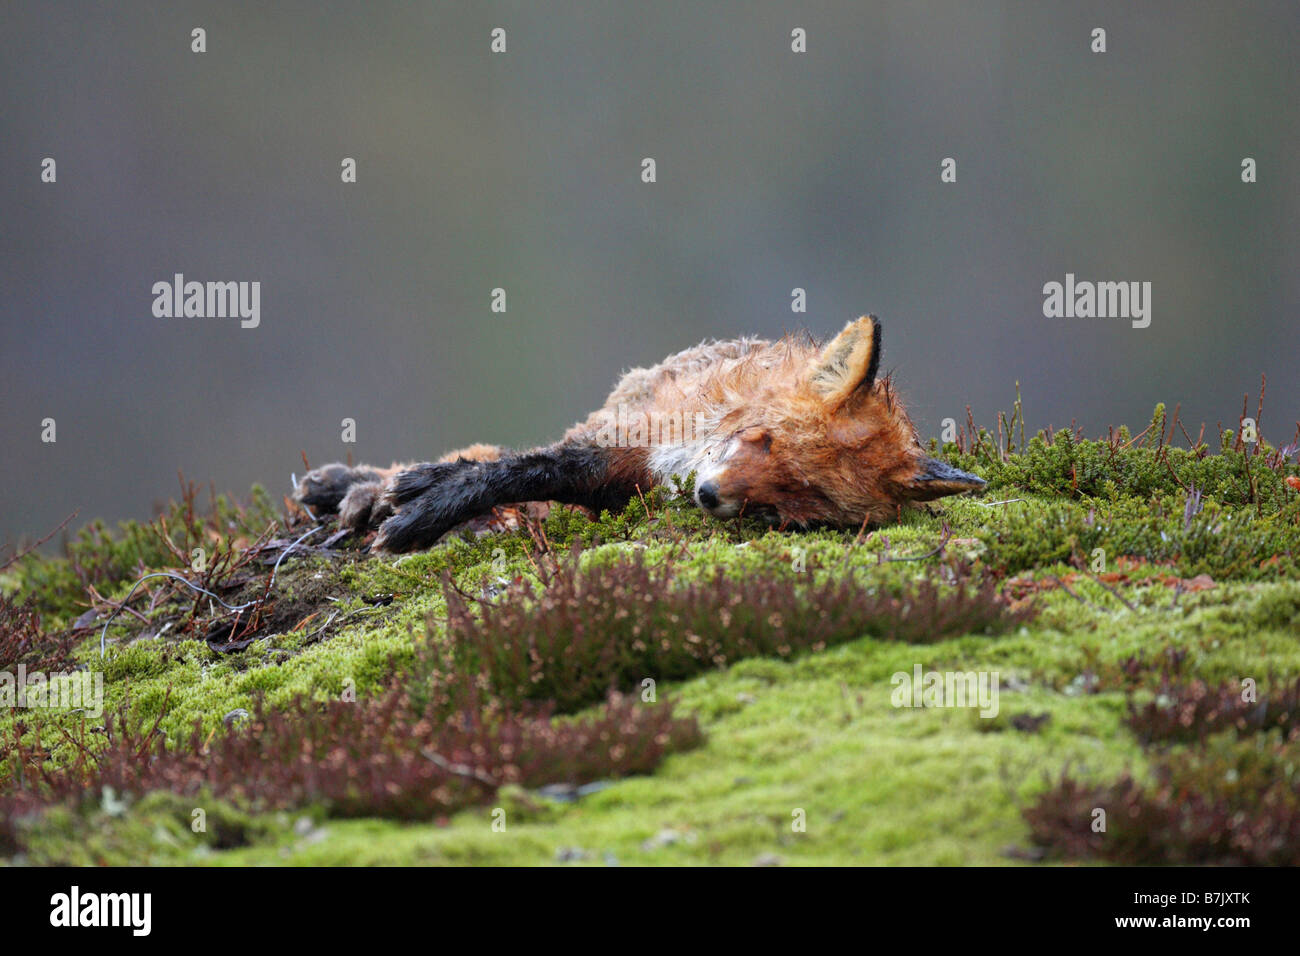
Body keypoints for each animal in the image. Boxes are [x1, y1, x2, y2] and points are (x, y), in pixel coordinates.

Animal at [293, 315, 985, 553]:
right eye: (763, 439)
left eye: (795, 506)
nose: (709, 497)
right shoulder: (631, 443)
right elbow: (512, 467)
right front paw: (420, 506)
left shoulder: (624, 483)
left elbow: (527, 473)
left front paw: (423, 510)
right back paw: (353, 487)